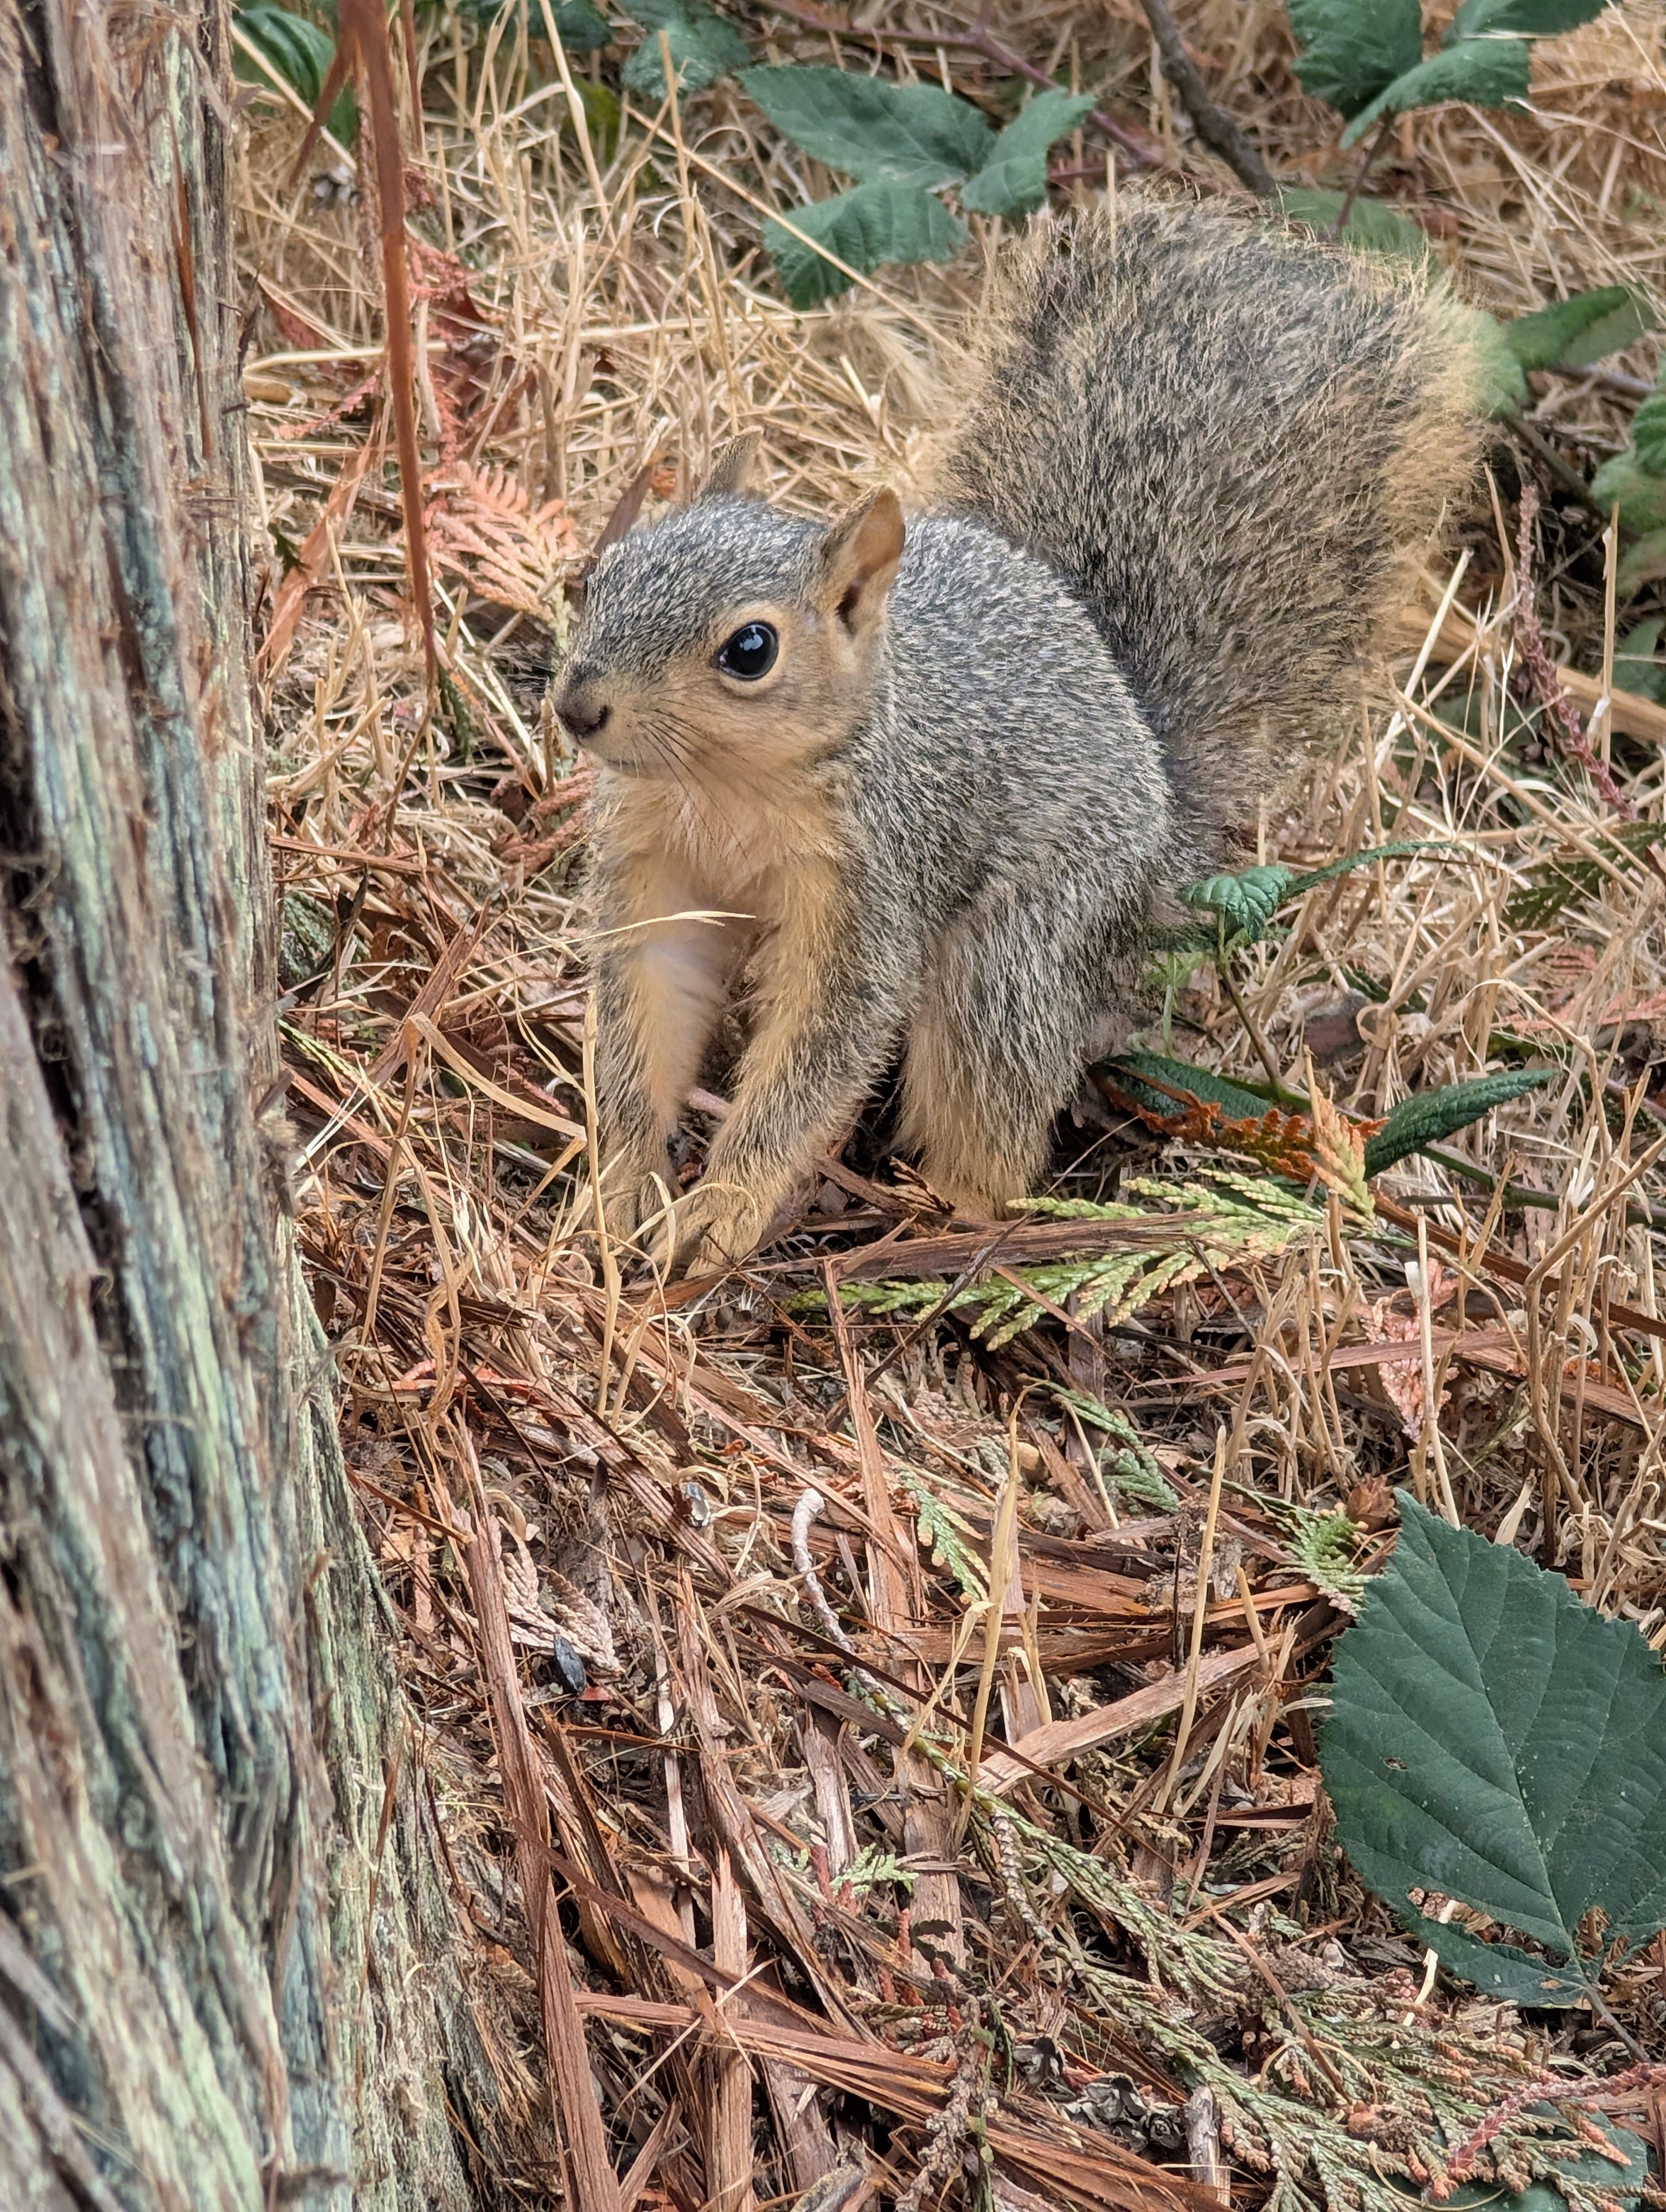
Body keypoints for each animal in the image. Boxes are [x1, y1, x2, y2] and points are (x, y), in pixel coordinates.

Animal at [553, 193, 1480, 1274]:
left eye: (750, 649)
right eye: (601, 575)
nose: (578, 708)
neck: (725, 785)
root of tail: (1152, 770)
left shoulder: (875, 881)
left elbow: (822, 1048)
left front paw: (725, 1208)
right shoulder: (654, 866)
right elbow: (645, 1005)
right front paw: (621, 1180)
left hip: (1019, 946)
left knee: (993, 1091)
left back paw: (946, 1211)